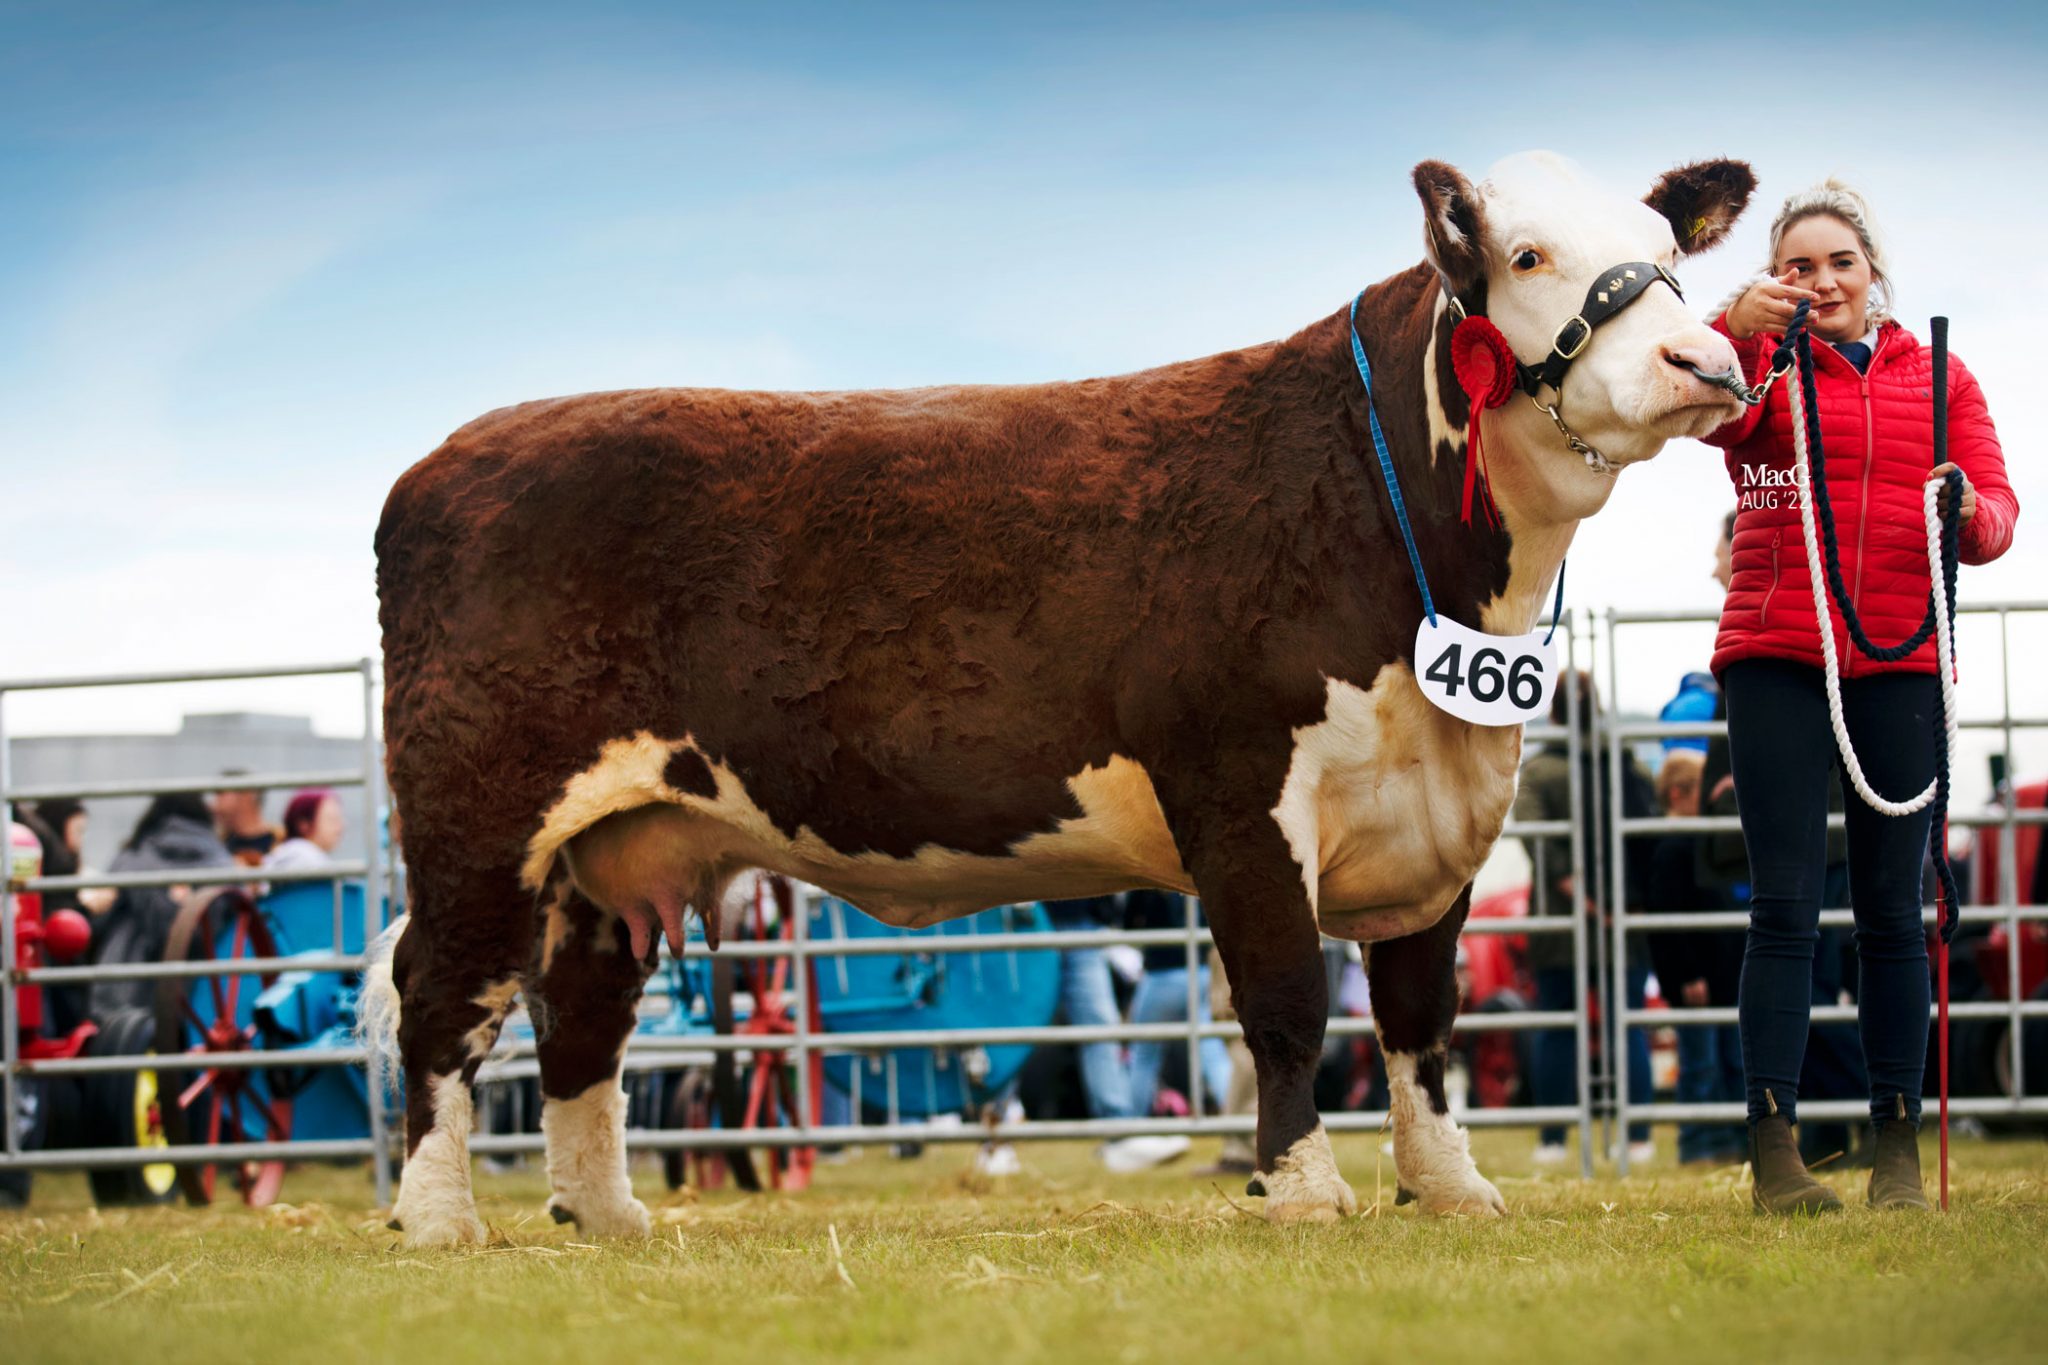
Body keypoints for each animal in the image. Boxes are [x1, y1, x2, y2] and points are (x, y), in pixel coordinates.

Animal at [366, 151, 1755, 1246]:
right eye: (1526, 255)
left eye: (1664, 262)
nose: (1705, 359)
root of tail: (443, 464)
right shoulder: (1237, 792)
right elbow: (1288, 1001)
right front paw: (1304, 1191)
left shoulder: (1439, 805)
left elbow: (1417, 1017)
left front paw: (1450, 1188)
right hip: (478, 817)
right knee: (444, 995)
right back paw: (437, 1221)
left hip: (611, 844)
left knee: (579, 1018)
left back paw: (606, 1215)